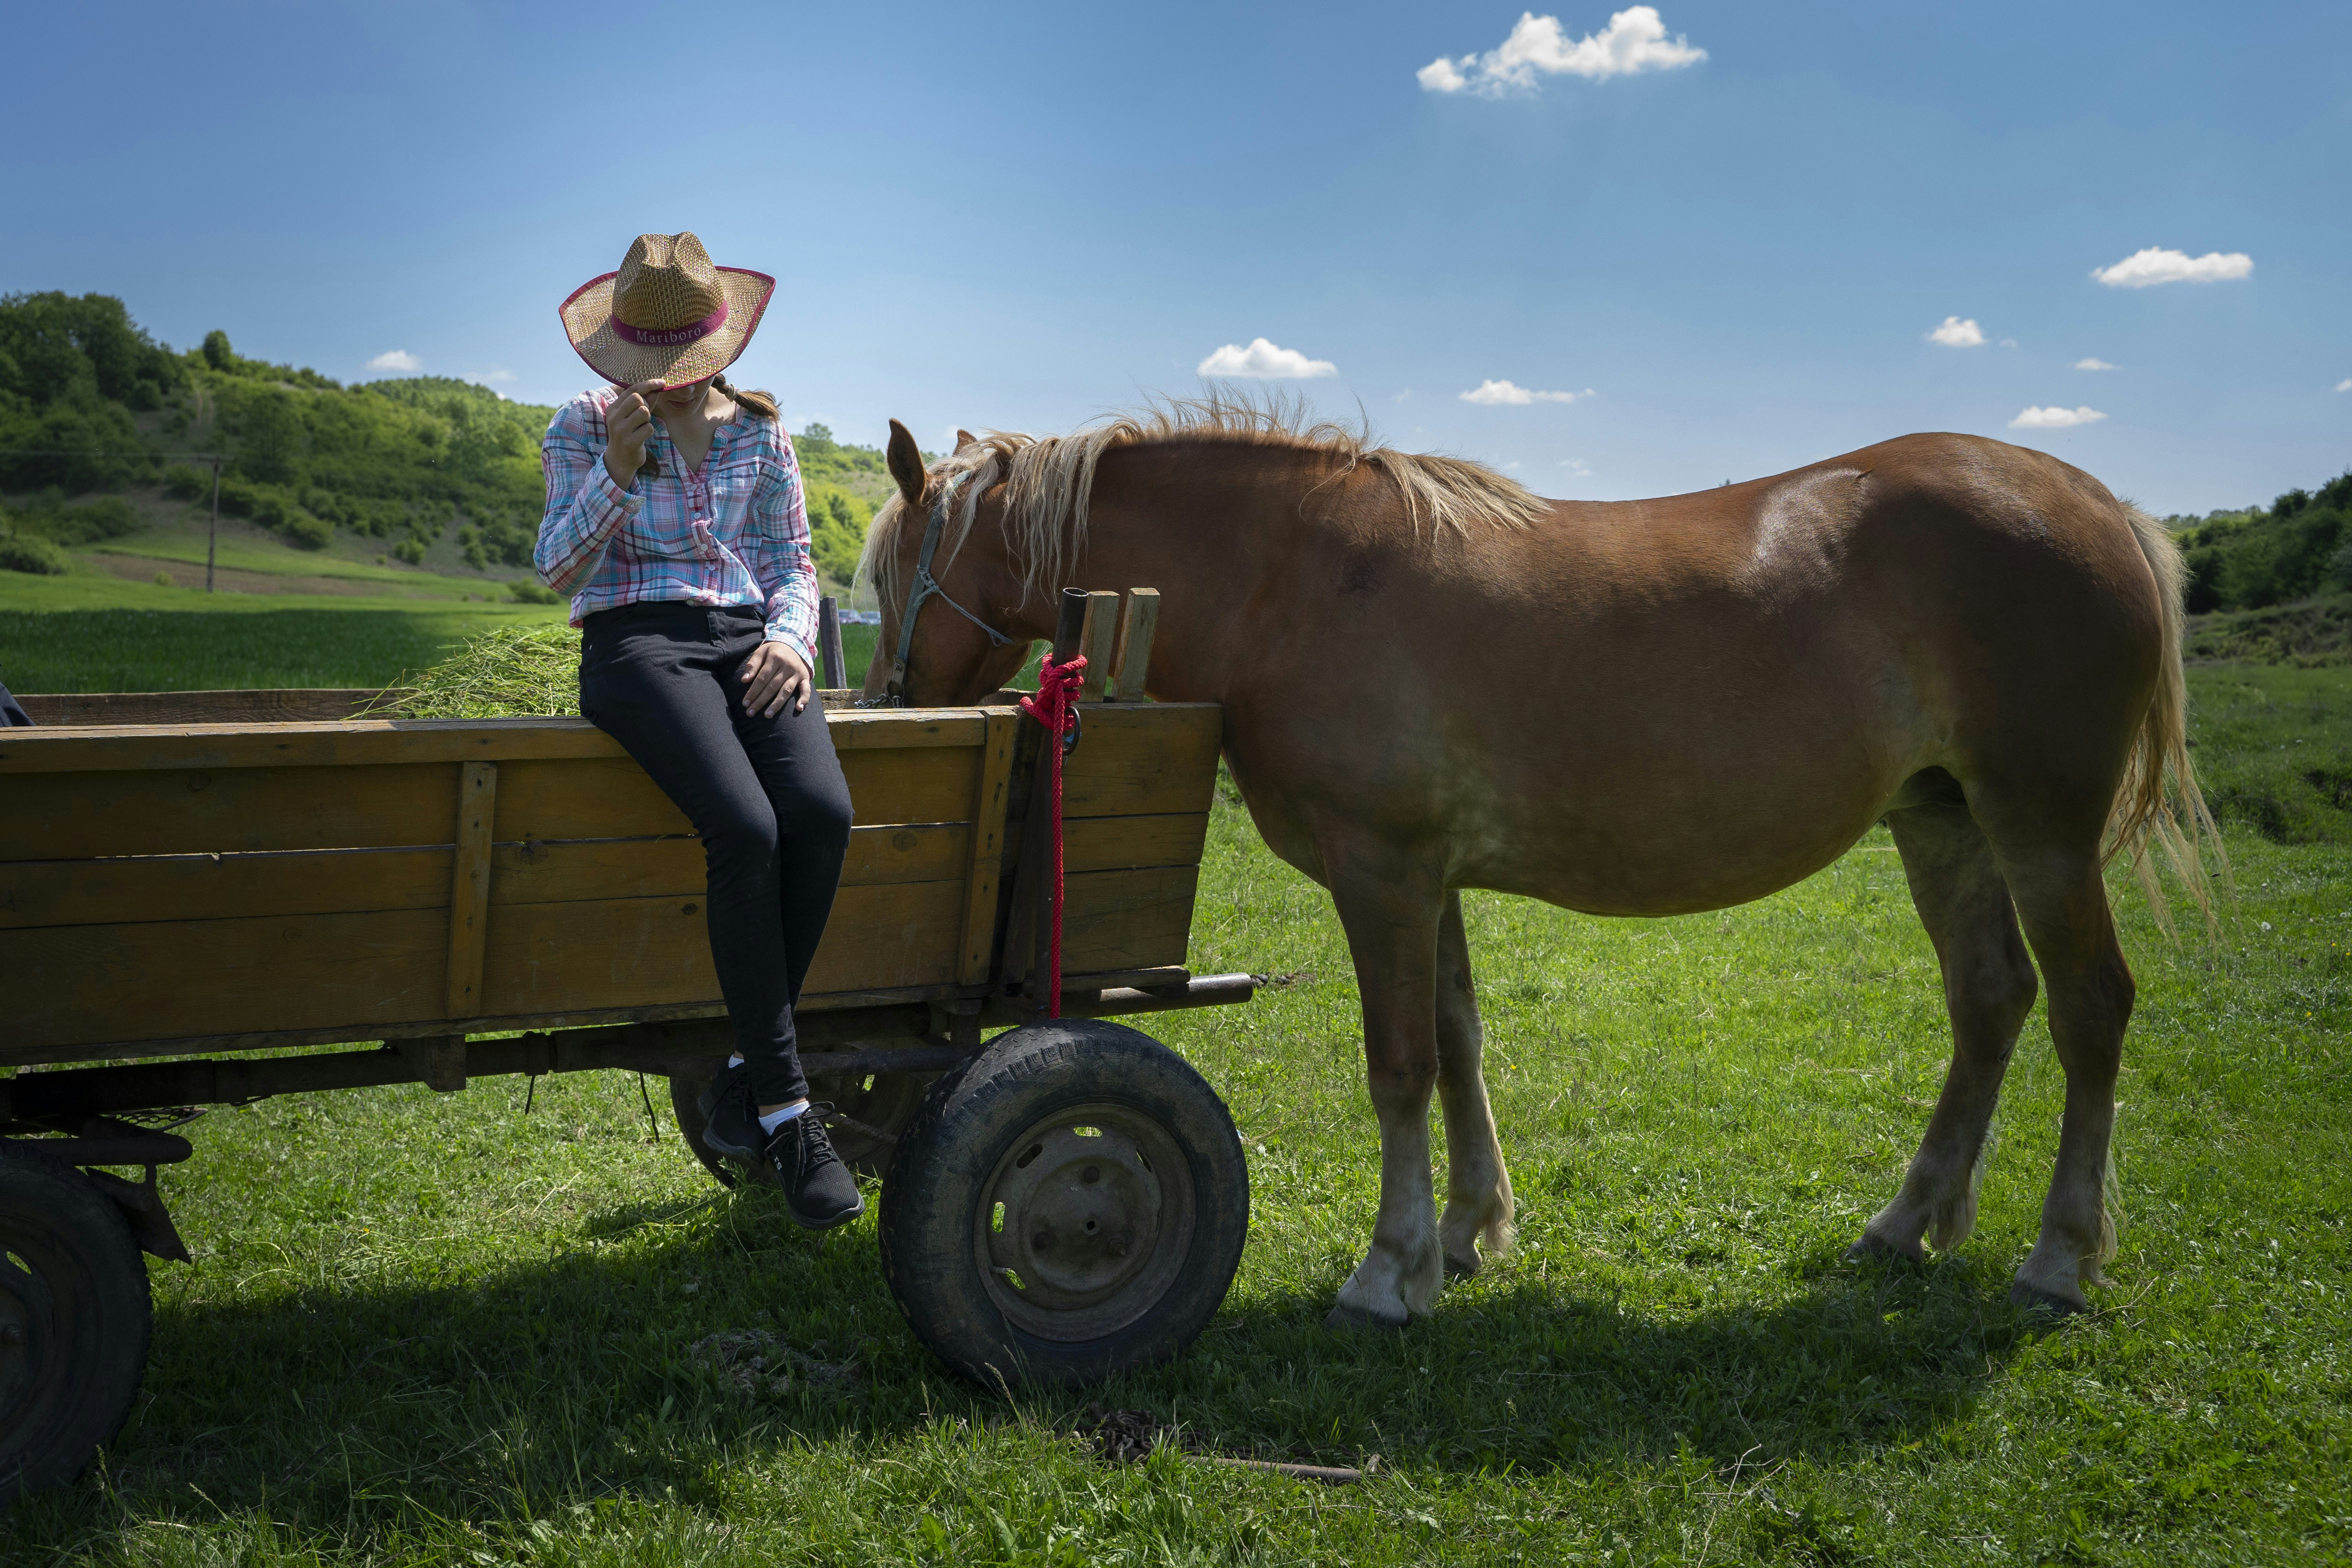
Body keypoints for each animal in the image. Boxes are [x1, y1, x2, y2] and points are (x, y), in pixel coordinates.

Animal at [855, 397, 2220, 1328]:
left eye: (891, 566)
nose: (891, 701)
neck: (1298, 575)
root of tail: (2099, 505)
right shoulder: (1433, 880)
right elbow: (1457, 1042)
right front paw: (1464, 1231)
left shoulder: (1383, 873)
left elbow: (1399, 1064)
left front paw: (1387, 1269)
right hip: (1942, 821)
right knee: (1988, 1002)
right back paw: (1905, 1221)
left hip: (2040, 827)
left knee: (2090, 1008)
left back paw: (2058, 1255)